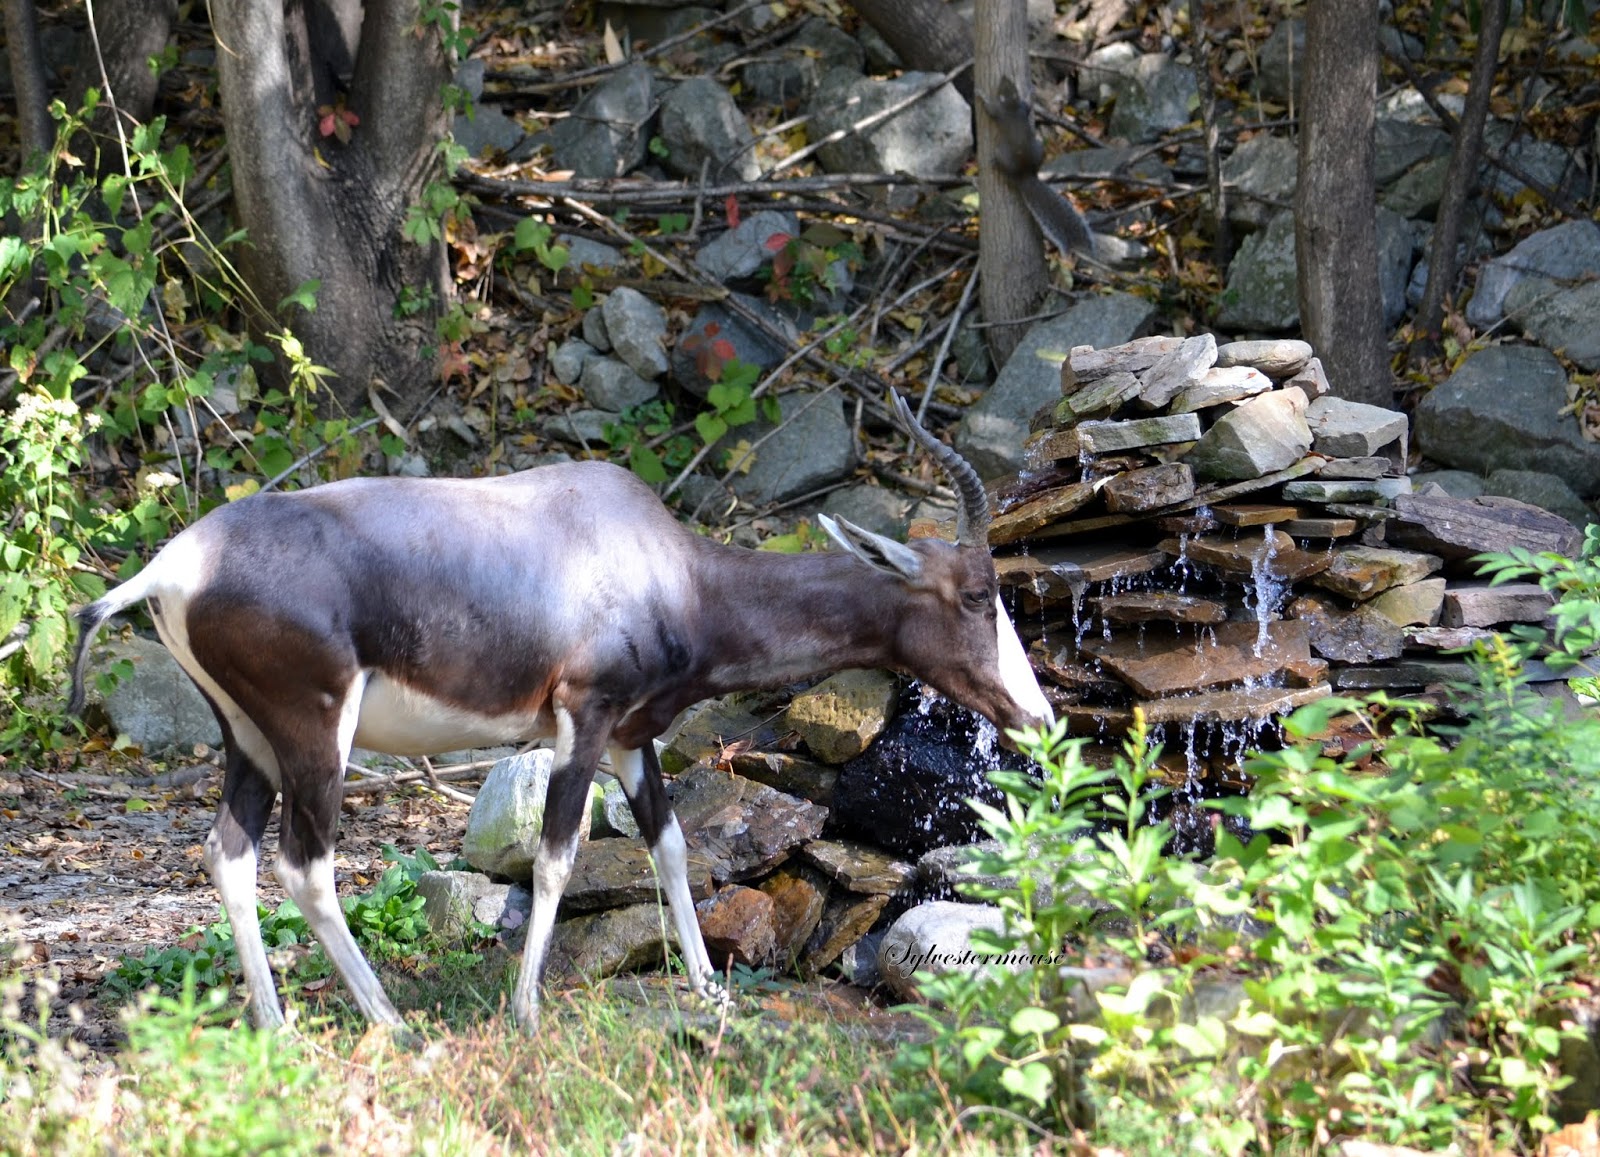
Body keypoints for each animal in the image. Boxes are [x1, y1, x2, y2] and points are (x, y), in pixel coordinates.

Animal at [69, 394, 1052, 1033]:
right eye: (977, 593)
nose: (1038, 715)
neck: (661, 557)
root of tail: (171, 567)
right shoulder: (584, 718)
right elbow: (555, 858)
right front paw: (527, 1010)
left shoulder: (632, 738)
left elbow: (670, 845)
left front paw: (710, 990)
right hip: (315, 736)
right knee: (304, 866)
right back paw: (392, 1023)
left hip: (249, 741)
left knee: (227, 852)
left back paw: (275, 1027)